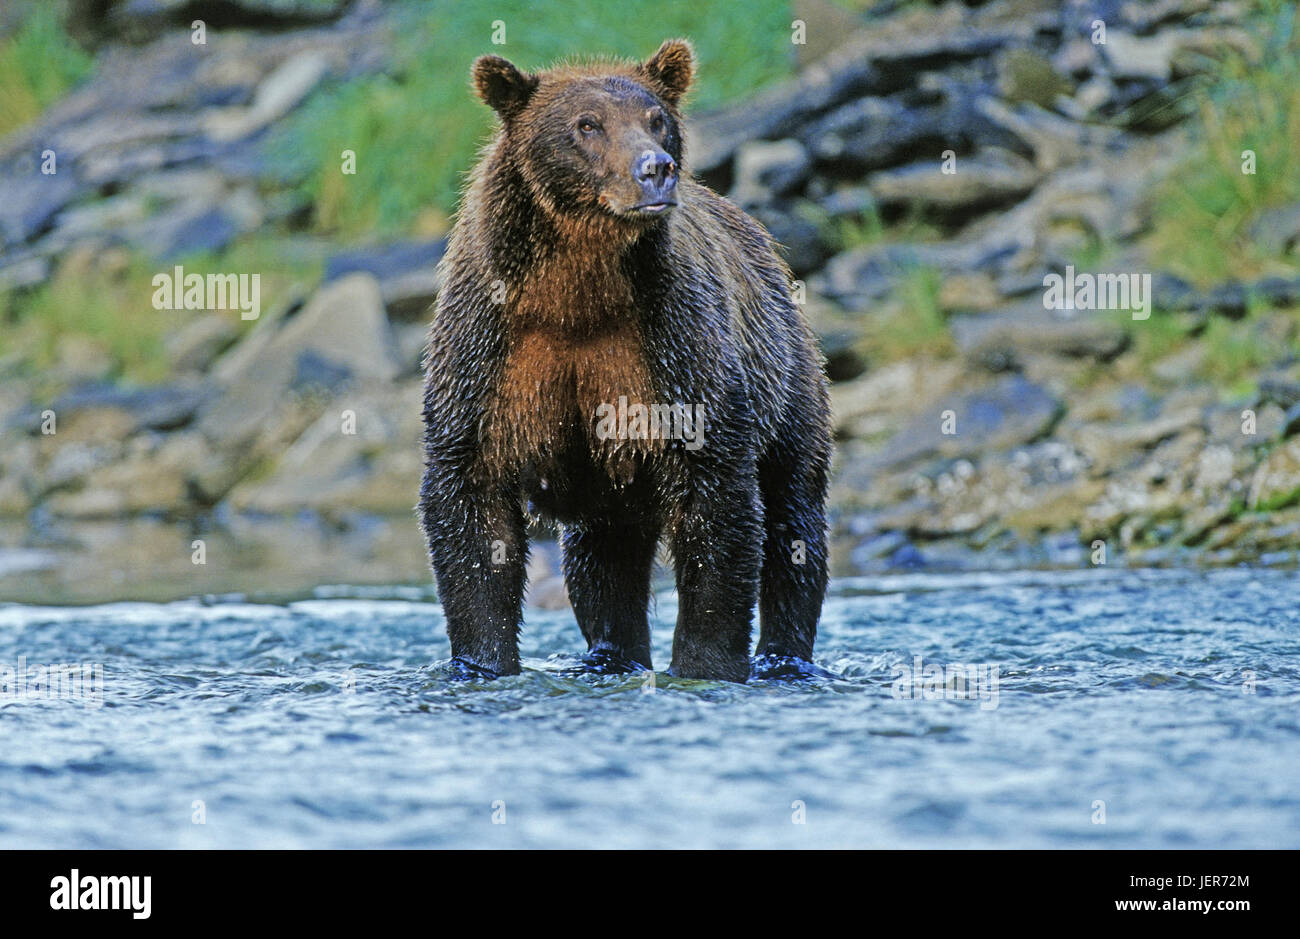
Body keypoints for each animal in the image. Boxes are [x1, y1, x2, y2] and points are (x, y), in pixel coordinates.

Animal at [419, 39, 831, 683]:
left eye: (656, 117)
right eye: (587, 124)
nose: (655, 167)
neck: (575, 292)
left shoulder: (674, 347)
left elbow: (717, 510)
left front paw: (705, 662)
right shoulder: (489, 357)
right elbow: (472, 514)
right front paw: (480, 660)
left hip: (787, 379)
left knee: (795, 521)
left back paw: (784, 656)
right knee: (601, 562)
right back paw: (611, 655)